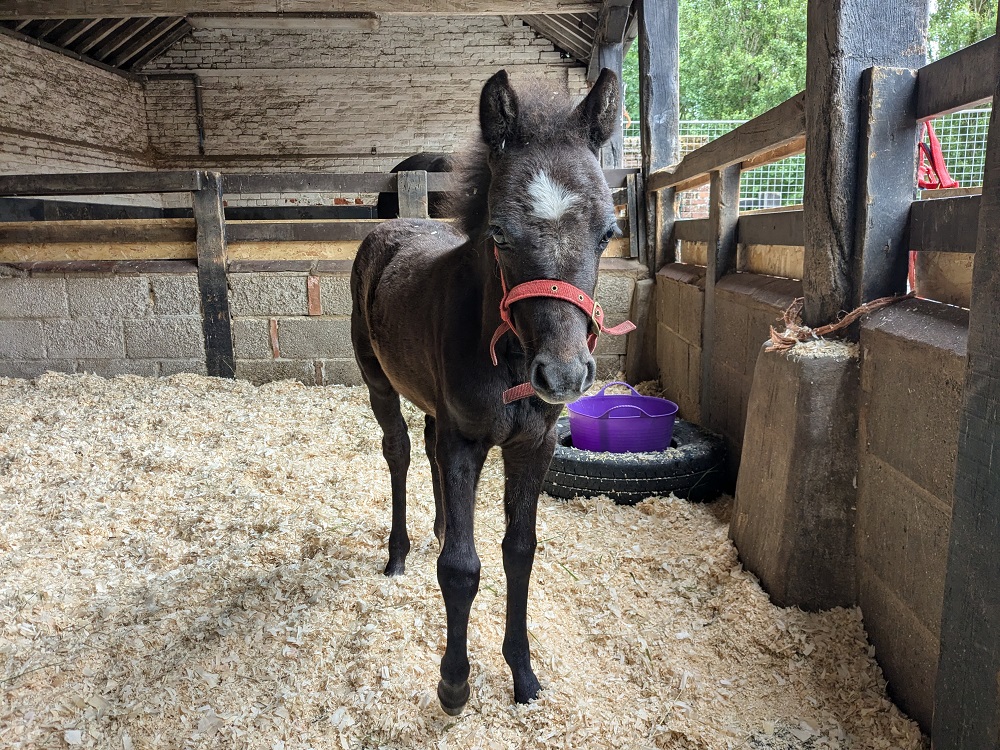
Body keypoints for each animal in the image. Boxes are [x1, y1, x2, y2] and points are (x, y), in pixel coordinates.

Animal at [351, 68, 629, 715]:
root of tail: (388, 228)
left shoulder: (534, 446)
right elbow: (461, 568)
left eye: (608, 234)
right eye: (499, 233)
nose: (564, 375)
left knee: (426, 447)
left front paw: (523, 675)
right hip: (377, 380)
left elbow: (518, 551)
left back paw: (438, 524)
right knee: (400, 451)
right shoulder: (467, 440)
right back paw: (399, 552)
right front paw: (454, 686)